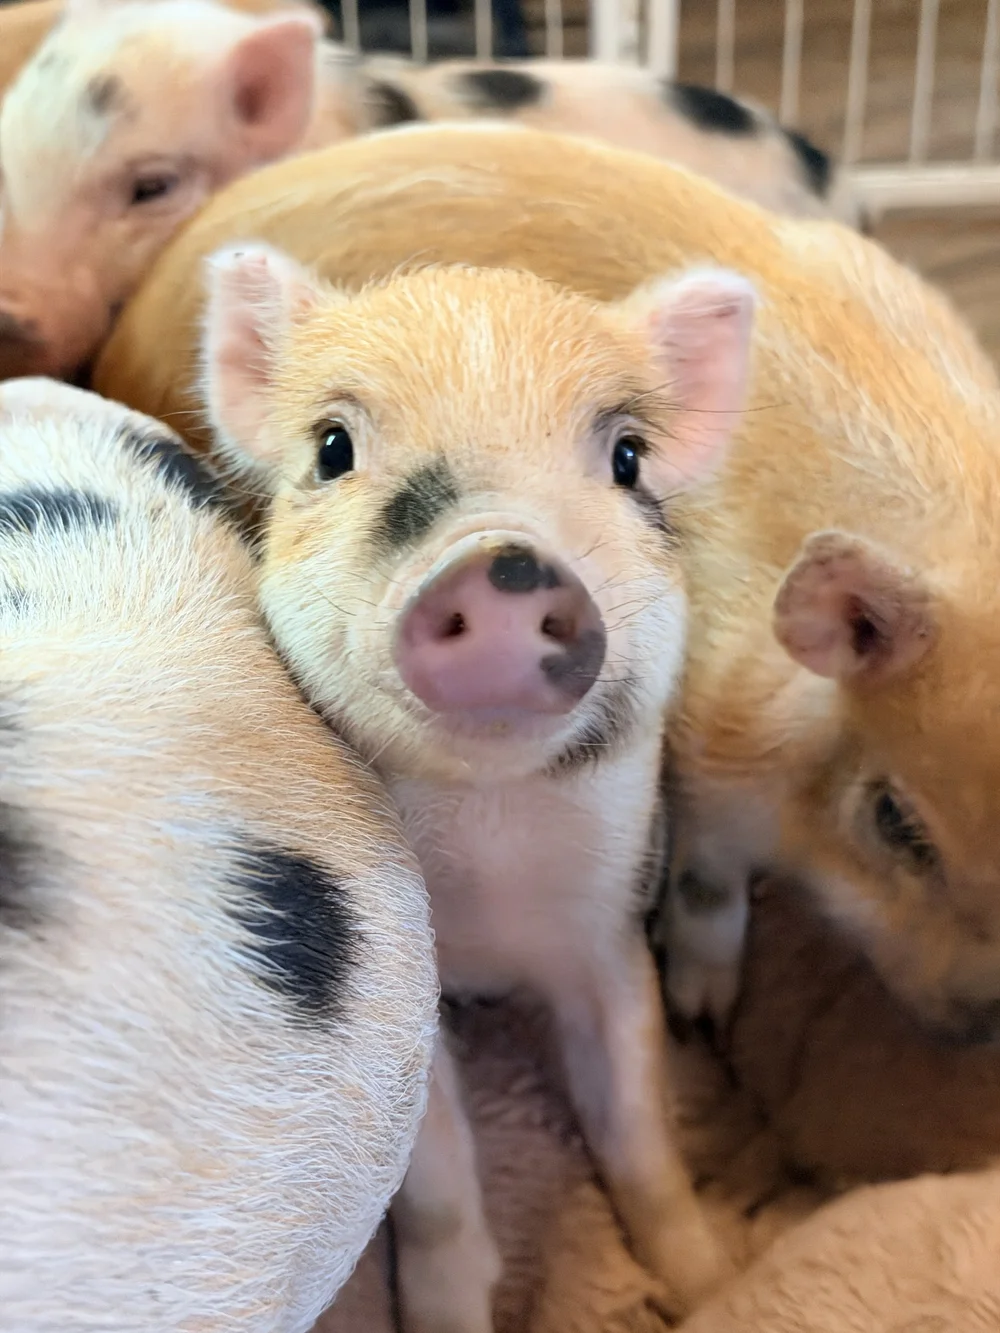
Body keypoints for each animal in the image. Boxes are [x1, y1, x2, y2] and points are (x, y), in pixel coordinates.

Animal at [91, 125, 1000, 1056]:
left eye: (630, 459)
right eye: (897, 821)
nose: (975, 1026)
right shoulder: (718, 739)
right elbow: (709, 883)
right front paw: (699, 1019)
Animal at [196, 246, 759, 1329]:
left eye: (627, 459)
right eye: (333, 447)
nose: (503, 563)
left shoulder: (610, 927)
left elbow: (639, 1127)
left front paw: (716, 1286)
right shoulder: (408, 1000)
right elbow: (442, 1181)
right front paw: (448, 1314)